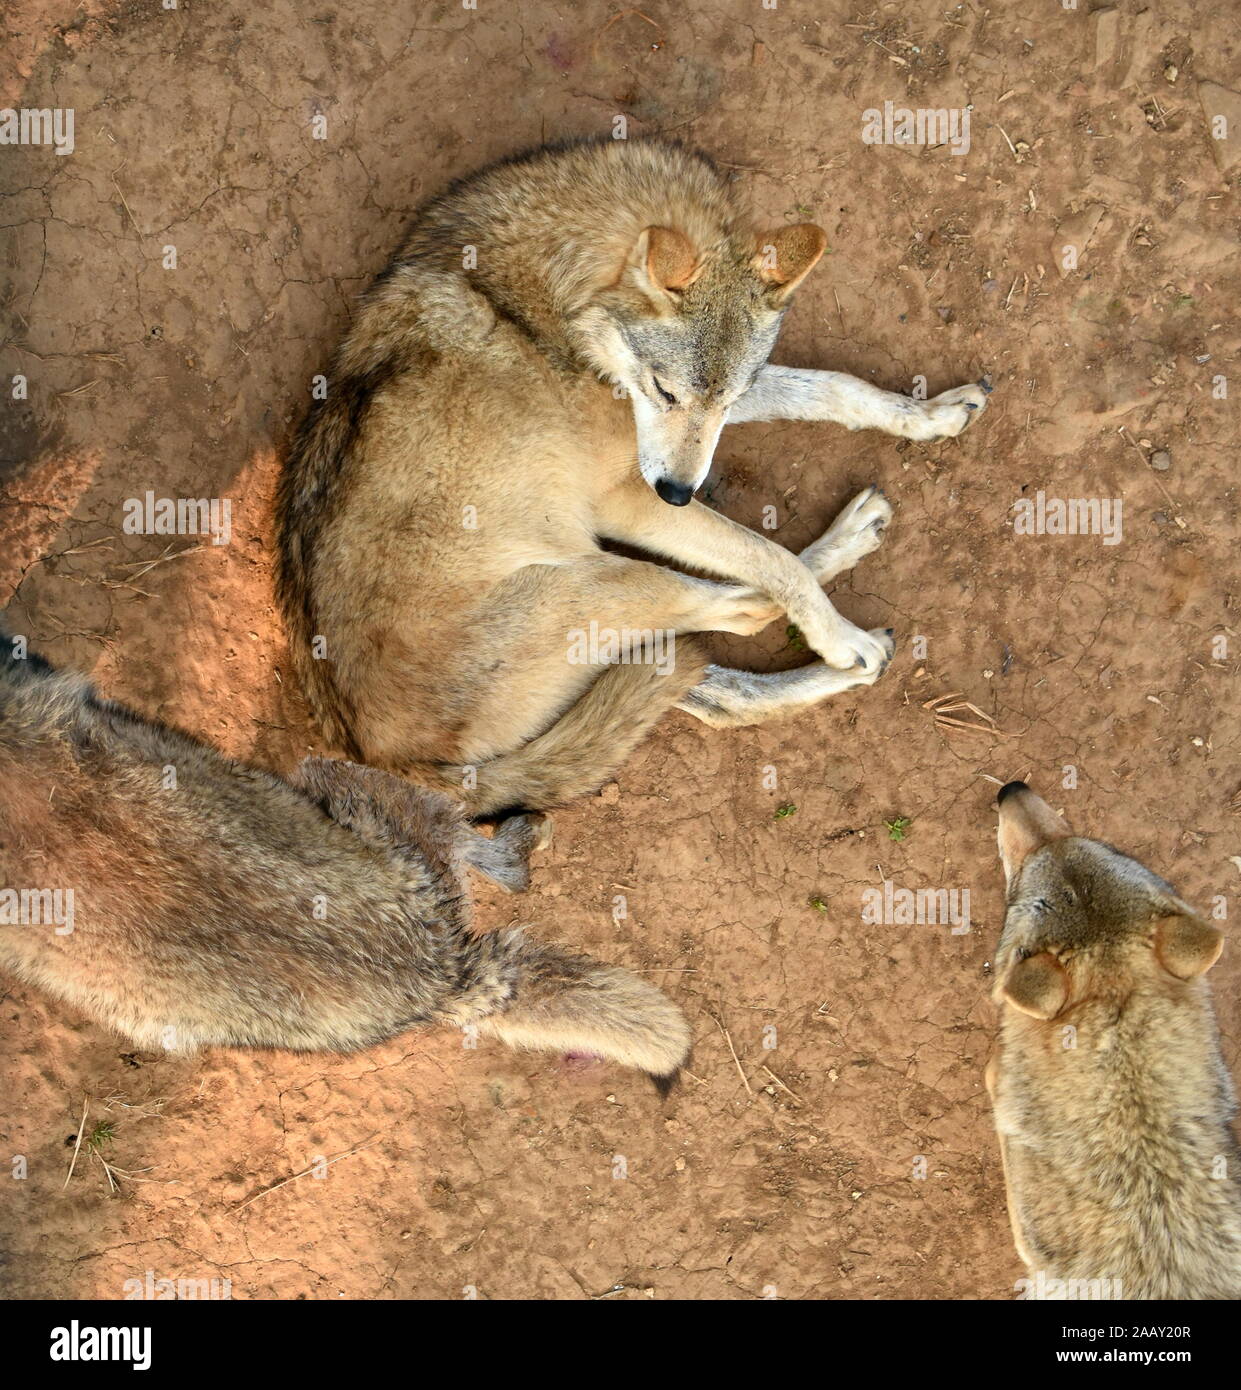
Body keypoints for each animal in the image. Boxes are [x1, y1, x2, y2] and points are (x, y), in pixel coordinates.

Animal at [277, 138, 989, 811]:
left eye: (727, 397)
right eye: (663, 389)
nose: (677, 493)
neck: (536, 309)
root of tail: (398, 764)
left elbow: (833, 388)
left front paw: (930, 414)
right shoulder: (625, 496)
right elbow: (770, 559)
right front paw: (836, 632)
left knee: (724, 690)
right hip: (603, 581)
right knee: (749, 604)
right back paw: (852, 633)